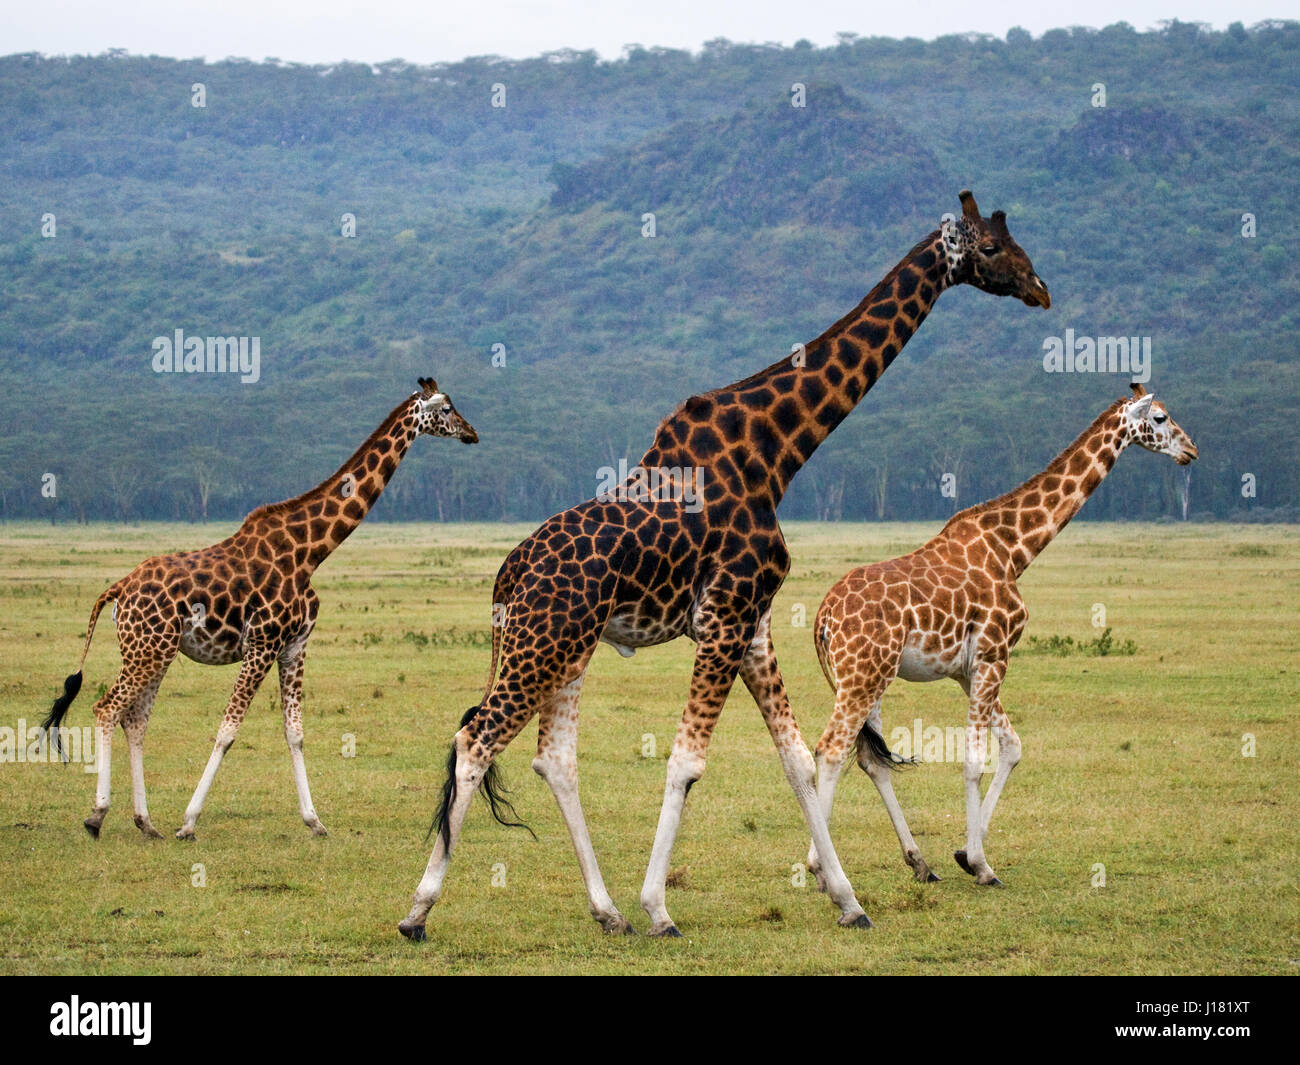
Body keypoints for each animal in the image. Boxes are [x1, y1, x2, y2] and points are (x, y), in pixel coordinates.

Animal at [41, 378, 478, 841]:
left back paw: (146, 822)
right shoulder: (262, 643)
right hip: (147, 649)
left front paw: (314, 821)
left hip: (155, 651)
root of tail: (118, 589)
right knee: (107, 708)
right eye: (446, 408)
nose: (472, 433)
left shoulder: (294, 646)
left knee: (135, 719)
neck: (310, 553)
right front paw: (189, 821)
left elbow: (295, 732)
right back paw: (97, 815)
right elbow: (227, 730)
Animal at [397, 190, 1051, 940]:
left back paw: (606, 910)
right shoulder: (725, 615)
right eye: (993, 247)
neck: (775, 452)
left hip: (567, 645)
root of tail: (507, 575)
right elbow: (688, 762)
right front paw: (660, 907)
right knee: (476, 741)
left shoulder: (755, 625)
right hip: (543, 641)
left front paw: (847, 898)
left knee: (551, 758)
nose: (1040, 288)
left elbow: (798, 760)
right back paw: (419, 910)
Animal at [809, 384, 1197, 889]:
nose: (1191, 451)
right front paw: (981, 864)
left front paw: (963, 852)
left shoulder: (970, 670)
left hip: (862, 678)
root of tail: (822, 617)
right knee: (830, 751)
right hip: (863, 675)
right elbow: (976, 760)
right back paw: (822, 867)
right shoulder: (995, 654)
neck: (1015, 549)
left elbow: (1012, 748)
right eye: (1162, 417)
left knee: (867, 759)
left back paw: (918, 862)